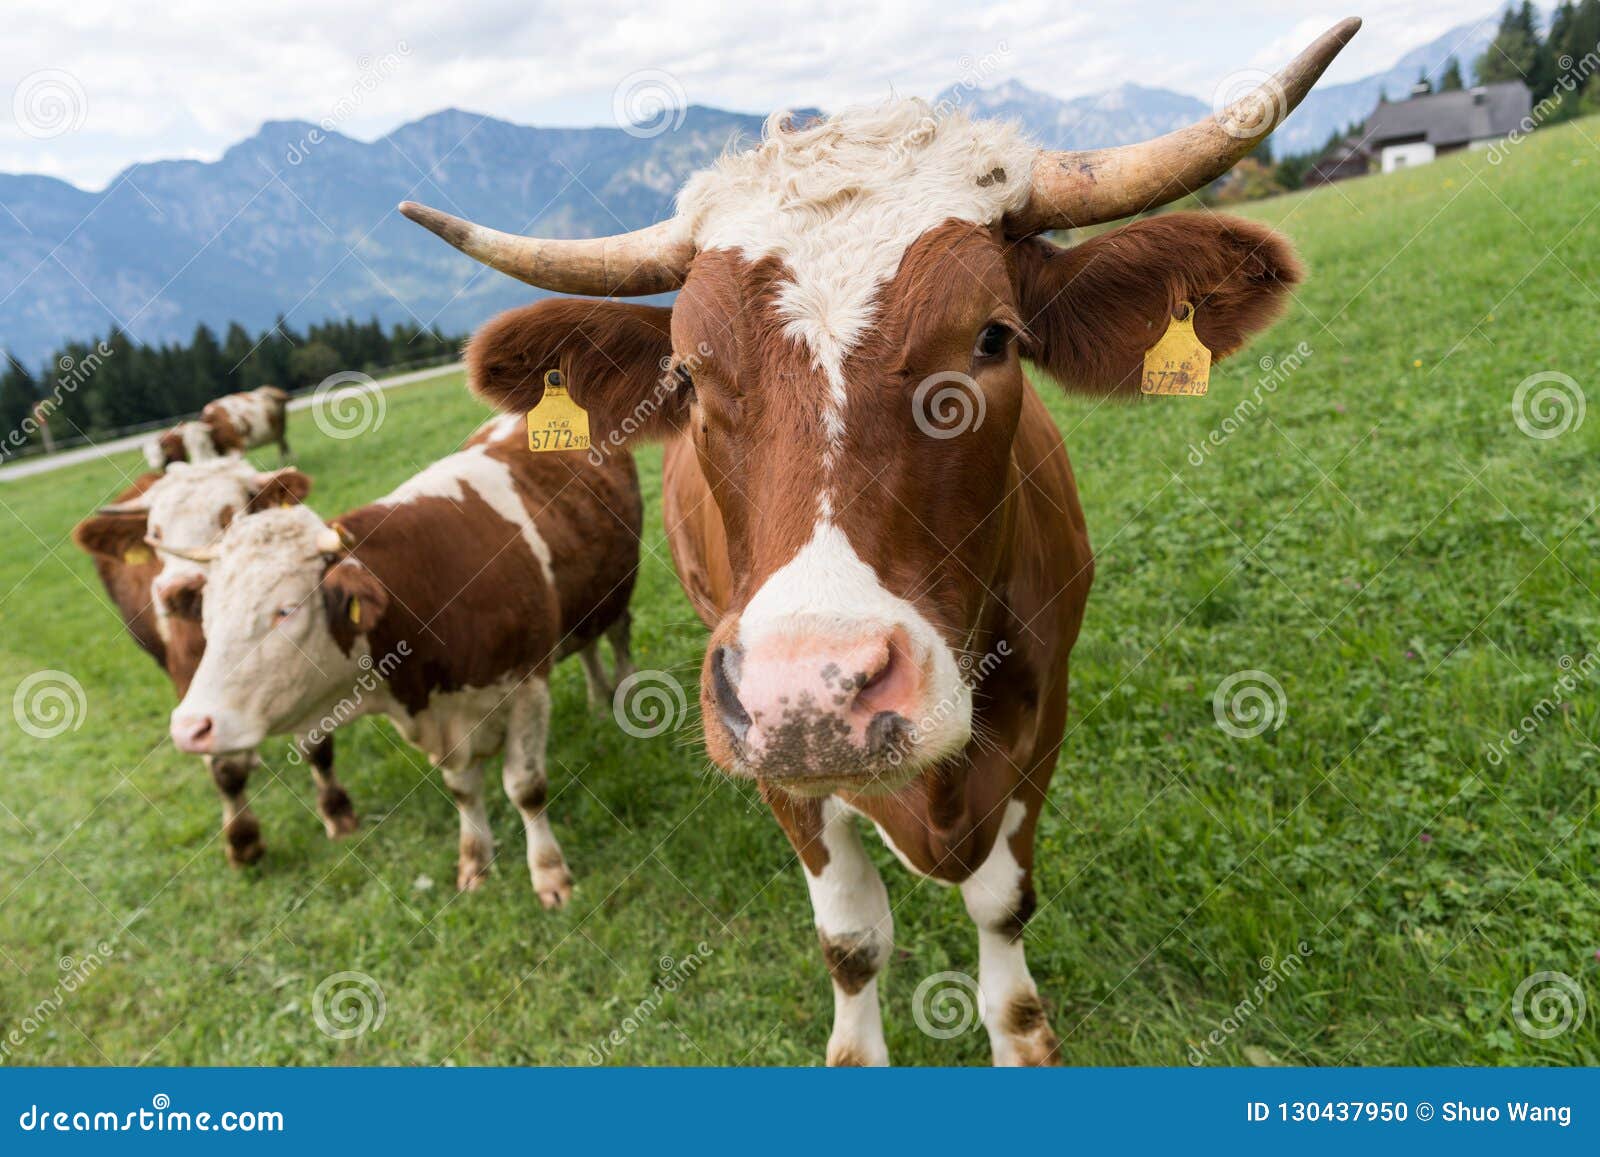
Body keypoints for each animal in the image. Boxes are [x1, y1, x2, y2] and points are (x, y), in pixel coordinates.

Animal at [73, 458, 357, 865]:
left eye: (228, 517)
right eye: (155, 533)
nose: (179, 588)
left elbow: (317, 744)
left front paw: (338, 813)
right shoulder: (189, 681)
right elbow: (225, 768)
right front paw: (243, 841)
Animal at [144, 386, 292, 469]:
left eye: (203, 443)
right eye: (186, 447)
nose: (198, 464)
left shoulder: (237, 448)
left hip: (280, 430)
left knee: (282, 448)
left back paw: (283, 466)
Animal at [164, 415, 642, 904]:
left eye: (286, 610)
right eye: (207, 613)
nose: (189, 727)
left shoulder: (528, 685)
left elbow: (526, 787)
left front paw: (549, 875)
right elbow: (463, 789)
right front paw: (475, 864)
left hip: (618, 587)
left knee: (618, 635)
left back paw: (623, 699)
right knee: (588, 646)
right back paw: (597, 699)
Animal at [398, 22, 1358, 1063]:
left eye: (993, 337)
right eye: (686, 374)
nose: (810, 693)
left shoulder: (1046, 717)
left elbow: (1003, 907)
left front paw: (1021, 1034)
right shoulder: (776, 762)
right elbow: (853, 938)